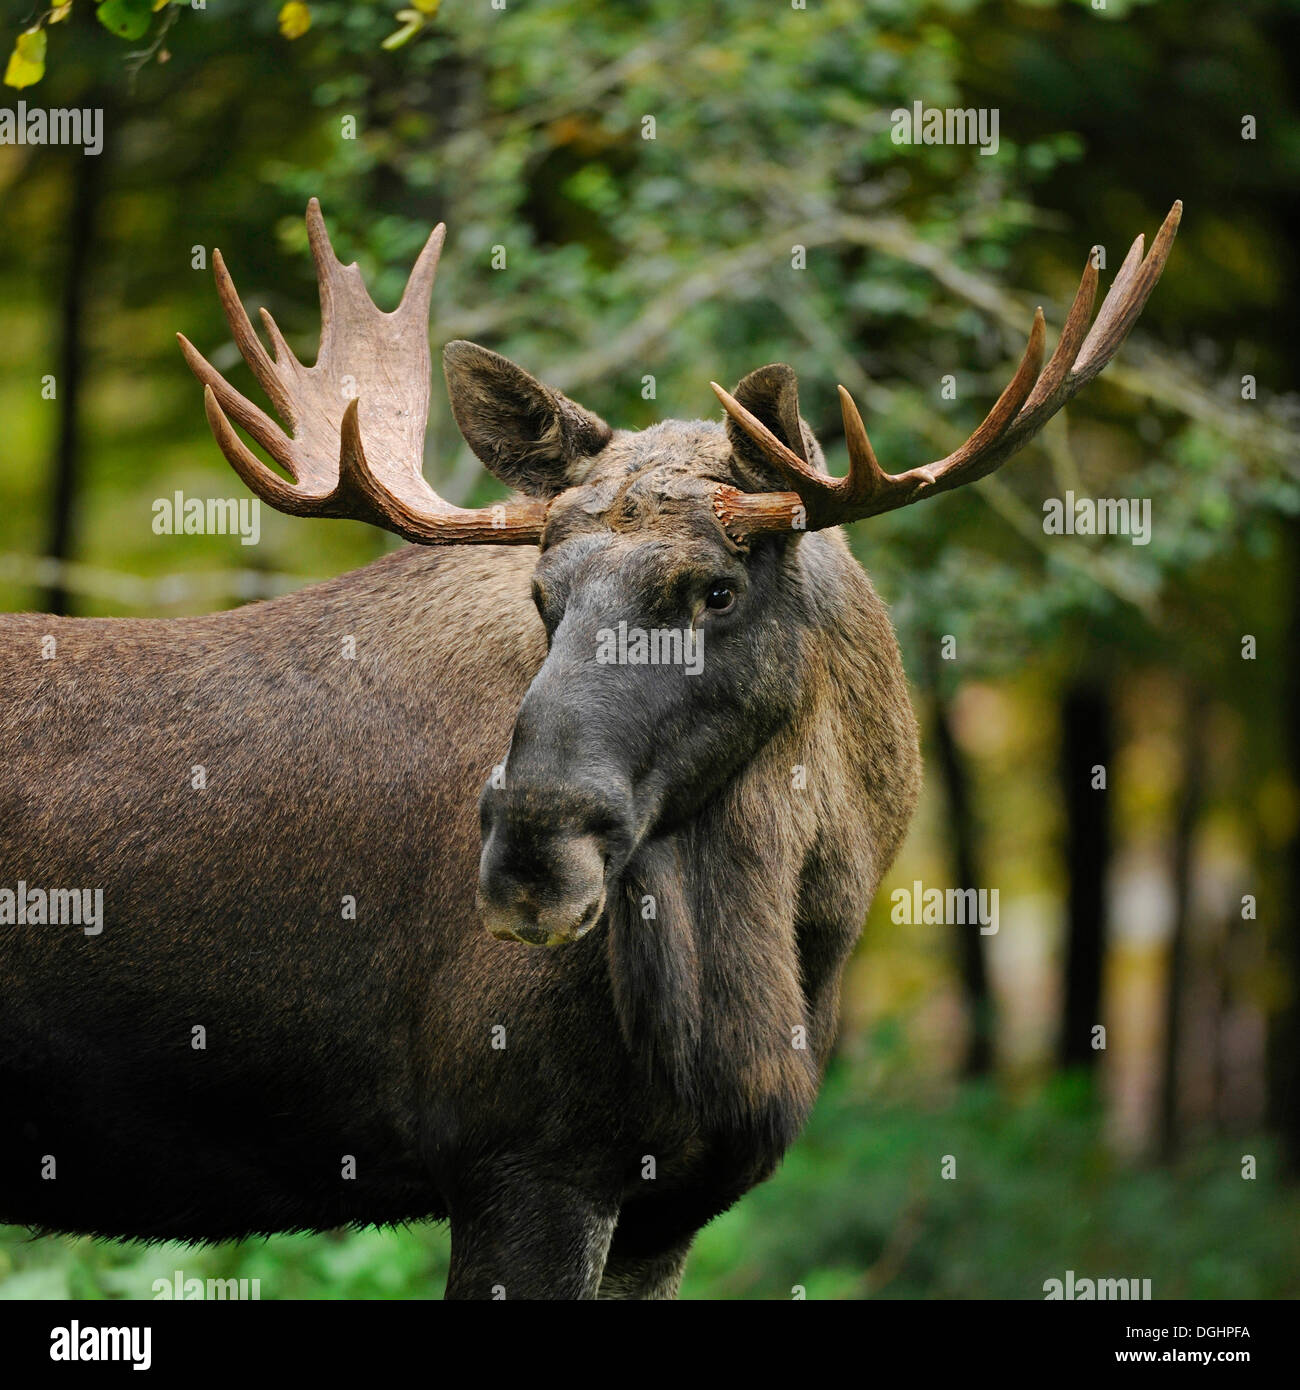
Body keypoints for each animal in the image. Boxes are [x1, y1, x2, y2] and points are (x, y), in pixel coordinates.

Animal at [0, 198, 1179, 1298]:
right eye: (543, 595)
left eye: (716, 588)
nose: (531, 853)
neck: (797, 939)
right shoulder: (524, 1156)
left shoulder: (669, 1204)